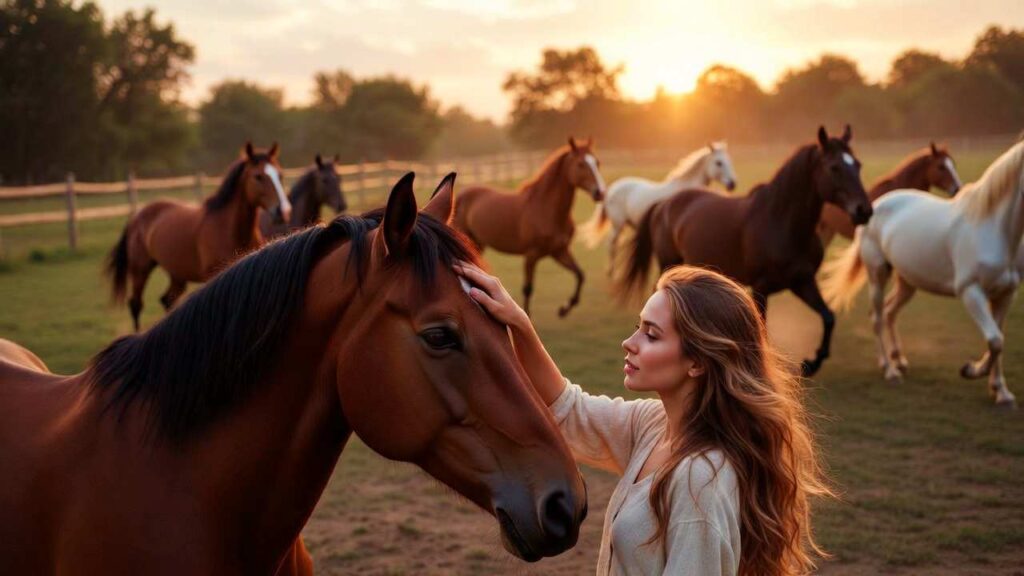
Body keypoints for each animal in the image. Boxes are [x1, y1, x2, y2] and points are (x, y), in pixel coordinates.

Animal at [106, 142, 292, 331]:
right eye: (258, 176)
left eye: (280, 175)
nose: (283, 211)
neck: (229, 230)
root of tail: (137, 217)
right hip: (140, 270)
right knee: (136, 304)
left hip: (177, 274)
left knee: (167, 300)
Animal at [453, 137, 606, 317]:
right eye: (580, 164)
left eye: (597, 162)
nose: (600, 193)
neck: (545, 209)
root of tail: (460, 195)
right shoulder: (531, 255)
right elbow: (528, 288)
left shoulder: (559, 252)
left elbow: (580, 275)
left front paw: (564, 309)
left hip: (477, 244)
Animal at [580, 142, 738, 270]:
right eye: (719, 162)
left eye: (729, 161)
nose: (732, 184)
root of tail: (613, 188)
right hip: (617, 225)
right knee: (612, 245)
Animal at [614, 125, 872, 377]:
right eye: (834, 167)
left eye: (858, 165)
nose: (864, 210)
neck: (781, 222)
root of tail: (665, 203)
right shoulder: (761, 287)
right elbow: (762, 330)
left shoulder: (802, 282)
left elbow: (828, 317)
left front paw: (812, 362)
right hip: (669, 262)